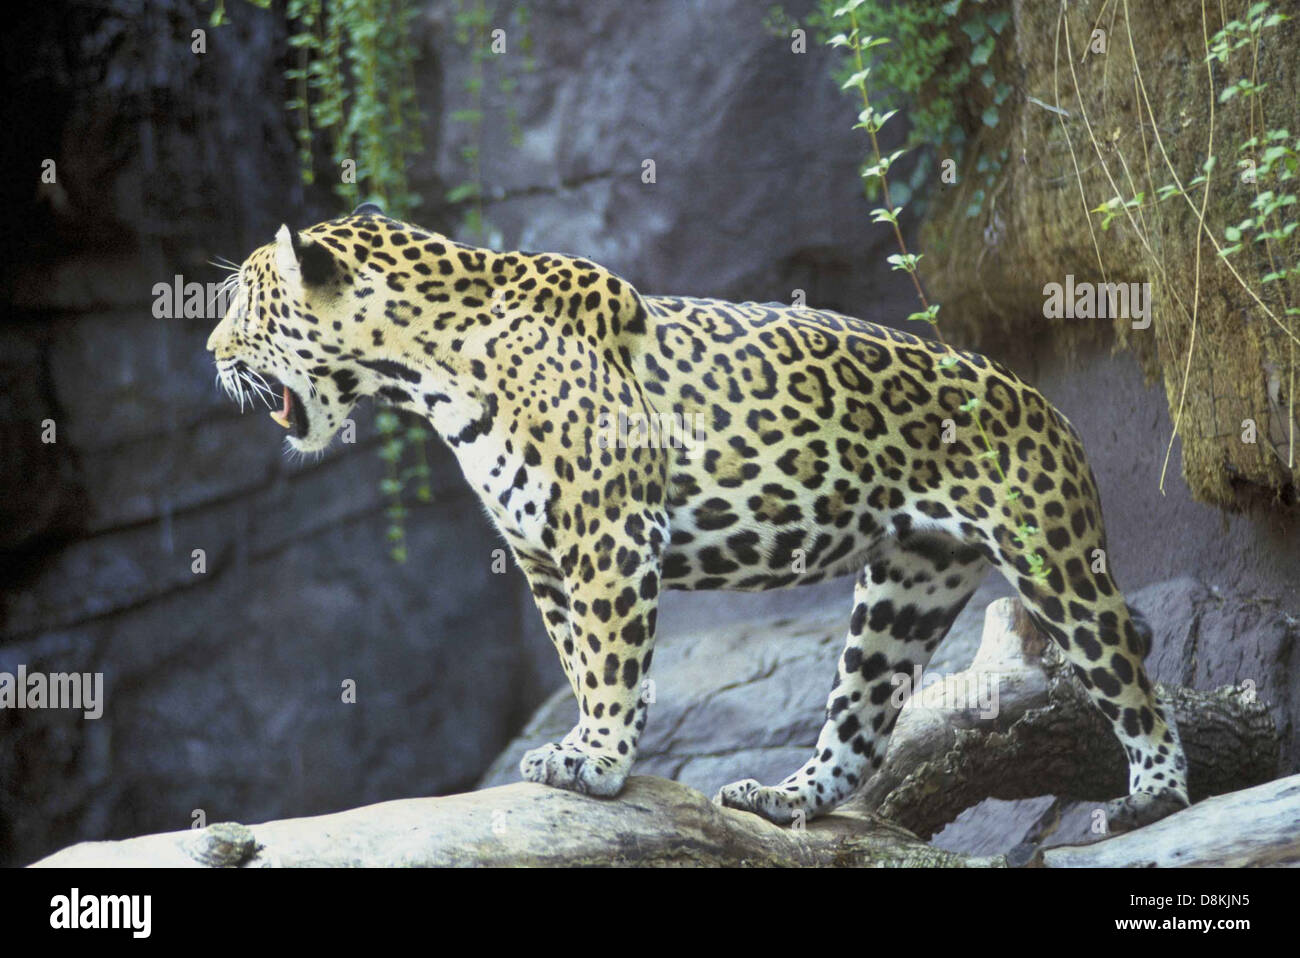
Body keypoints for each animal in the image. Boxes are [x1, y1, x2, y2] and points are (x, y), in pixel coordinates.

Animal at [206, 203, 1190, 833]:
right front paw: (592, 747)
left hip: (1053, 557)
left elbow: (610, 658)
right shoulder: (540, 555)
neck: (426, 367)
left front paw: (597, 760)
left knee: (1127, 673)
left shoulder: (606, 533)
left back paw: (1153, 796)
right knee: (862, 723)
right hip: (906, 588)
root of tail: (1042, 399)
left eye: (246, 302)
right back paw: (786, 800)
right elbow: (579, 659)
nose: (209, 352)